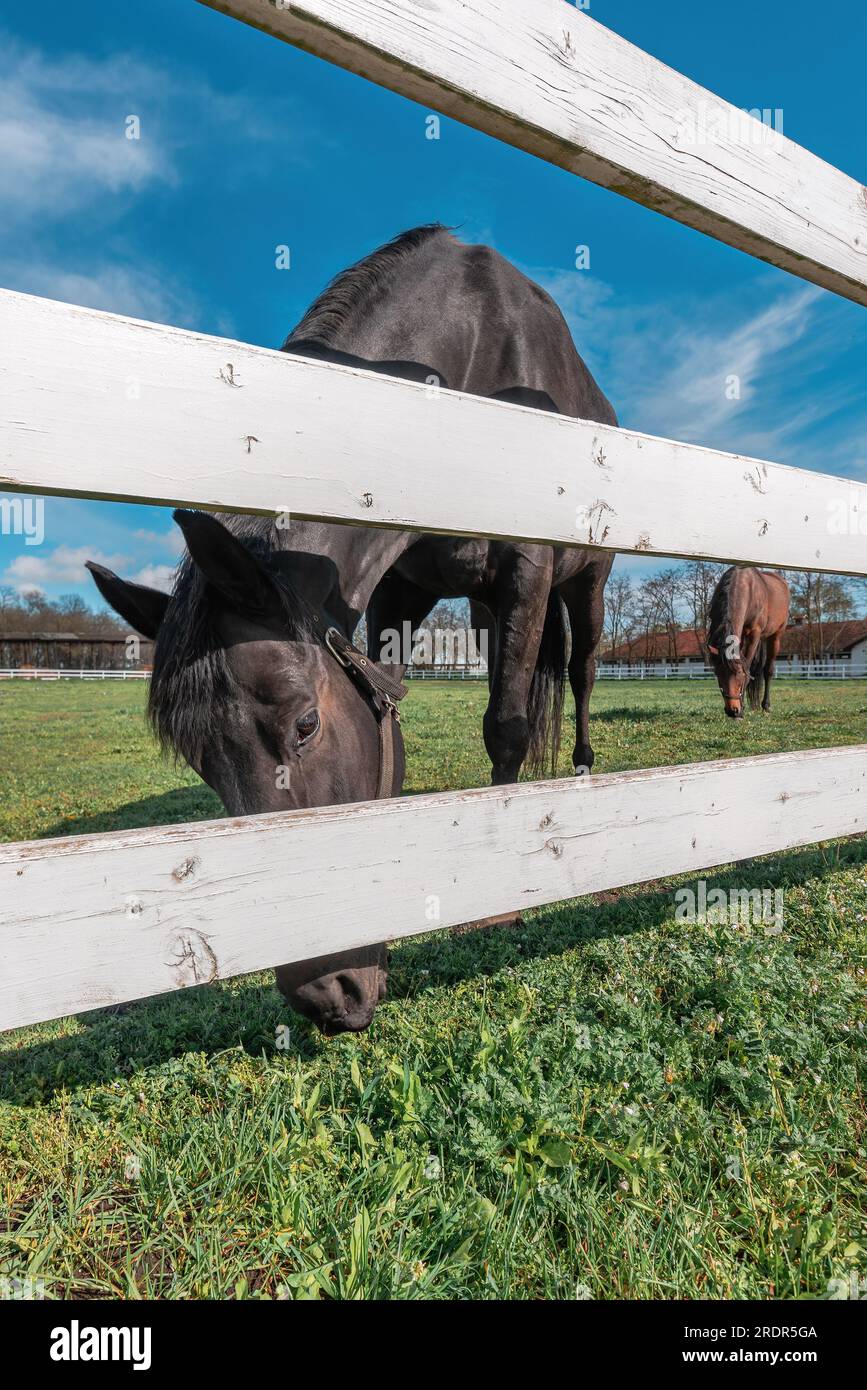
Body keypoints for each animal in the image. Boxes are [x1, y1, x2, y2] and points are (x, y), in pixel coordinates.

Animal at [87, 224, 616, 1033]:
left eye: (305, 726)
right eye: (202, 765)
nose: (325, 998)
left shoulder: (526, 569)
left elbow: (506, 726)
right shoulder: (401, 590)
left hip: (584, 584)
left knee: (581, 671)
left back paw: (583, 769)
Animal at [706, 566, 790, 717]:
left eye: (740, 674)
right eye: (718, 673)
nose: (733, 711)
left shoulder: (754, 634)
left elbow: (748, 667)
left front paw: (743, 706)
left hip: (776, 635)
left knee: (768, 670)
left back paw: (766, 705)